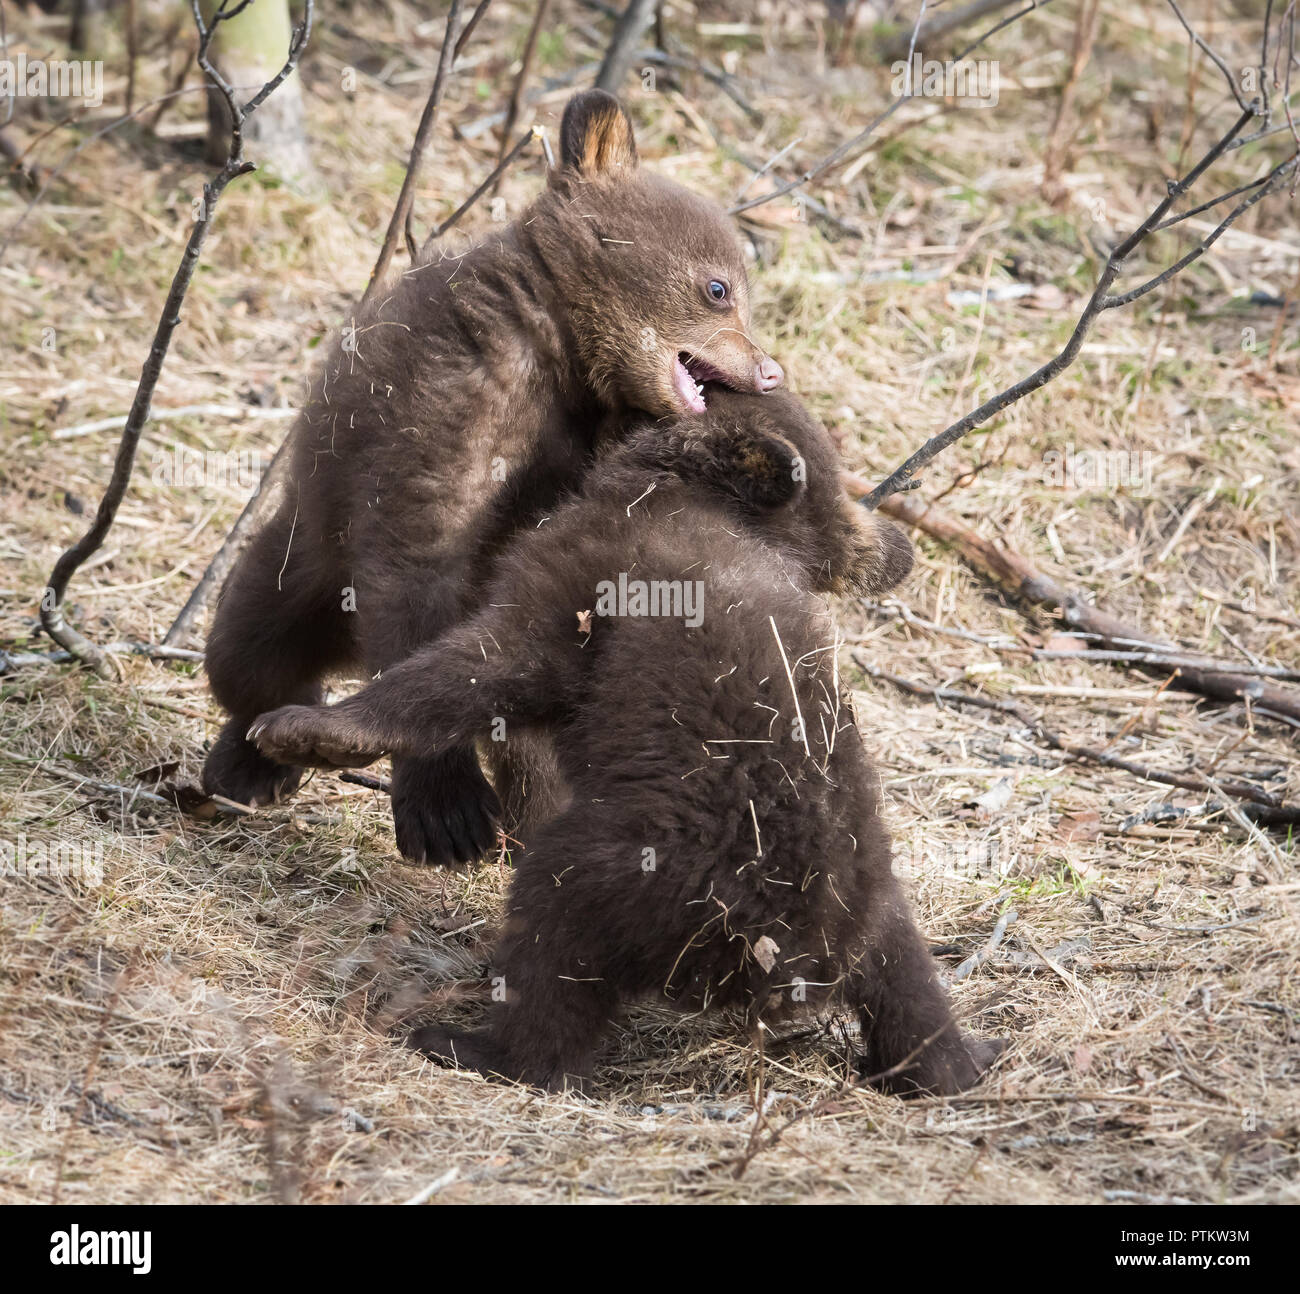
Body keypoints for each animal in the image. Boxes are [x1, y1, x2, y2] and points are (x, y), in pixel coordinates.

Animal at [201, 89, 784, 868]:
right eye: (720, 288)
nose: (767, 370)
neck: (565, 360)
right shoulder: (452, 412)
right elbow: (417, 566)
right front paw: (446, 811)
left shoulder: (577, 462)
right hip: (303, 556)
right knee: (252, 645)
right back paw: (247, 763)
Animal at [247, 389, 1004, 1097]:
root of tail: (800, 960)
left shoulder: (584, 576)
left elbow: (479, 661)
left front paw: (306, 730)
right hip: (876, 900)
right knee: (910, 982)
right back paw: (962, 1058)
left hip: (649, 875)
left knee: (555, 937)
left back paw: (471, 1043)